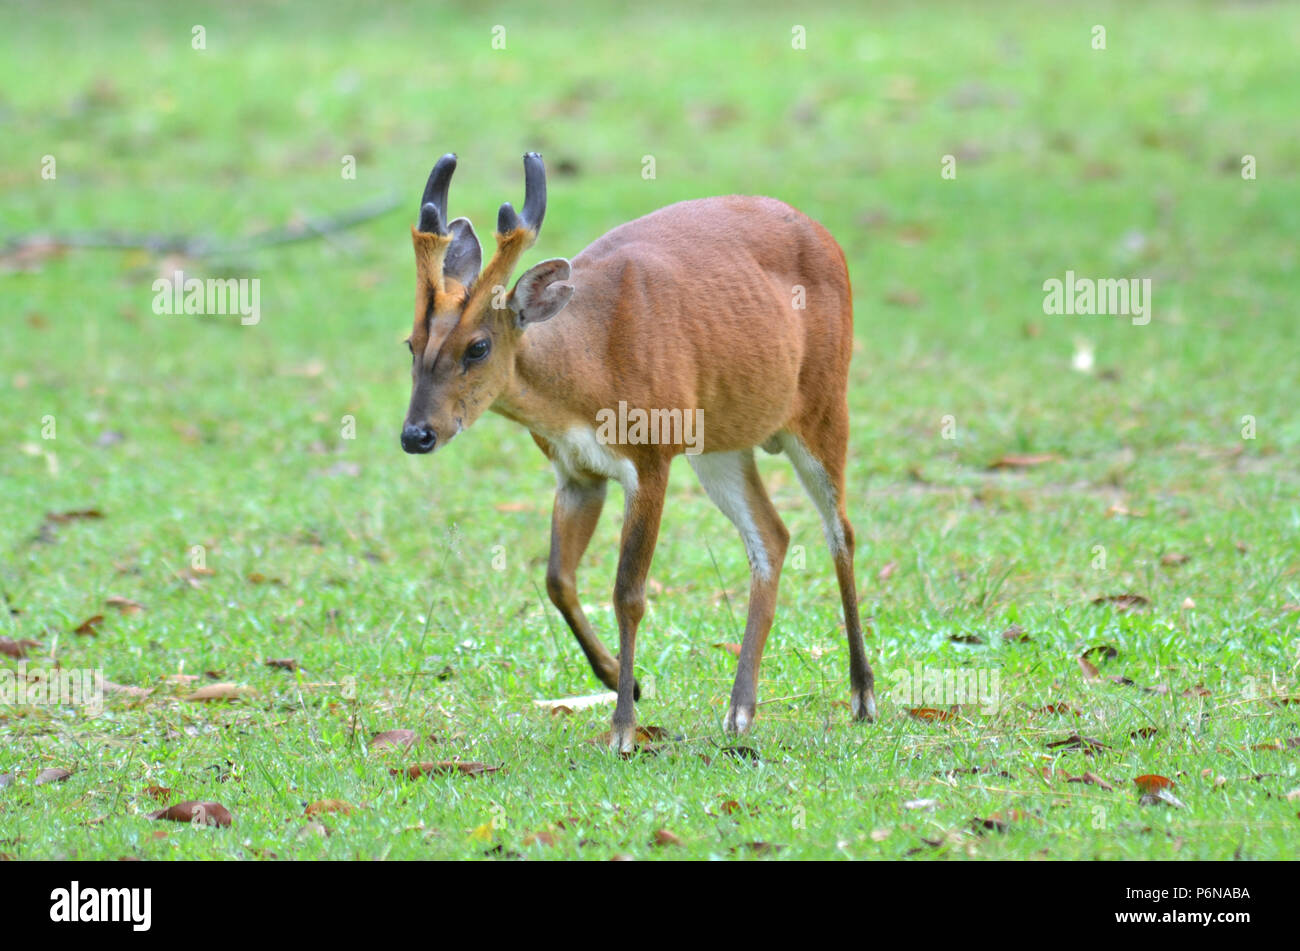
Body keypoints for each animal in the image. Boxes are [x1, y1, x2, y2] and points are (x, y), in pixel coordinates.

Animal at [400, 152, 876, 752]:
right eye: (410, 344)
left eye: (478, 347)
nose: (415, 435)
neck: (589, 373)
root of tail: (827, 236)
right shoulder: (577, 472)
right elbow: (558, 578)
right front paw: (621, 681)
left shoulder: (651, 455)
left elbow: (628, 591)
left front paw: (623, 728)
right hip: (719, 444)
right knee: (773, 534)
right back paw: (740, 710)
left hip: (823, 401)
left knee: (841, 530)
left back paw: (862, 696)